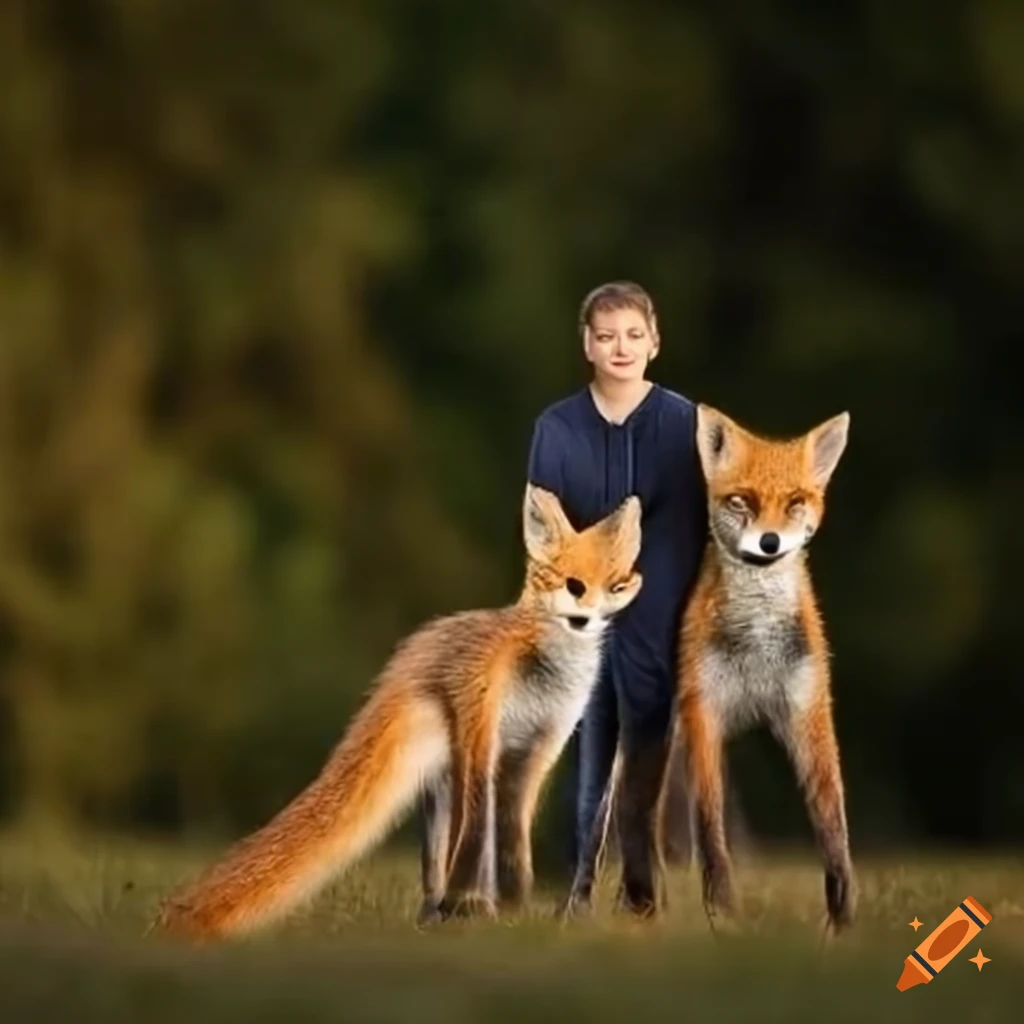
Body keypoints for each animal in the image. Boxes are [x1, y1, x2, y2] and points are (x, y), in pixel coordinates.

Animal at [153, 484, 643, 940]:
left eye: (617, 586)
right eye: (573, 584)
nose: (584, 620)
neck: (546, 674)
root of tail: (402, 665)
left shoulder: (538, 749)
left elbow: (515, 837)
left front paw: (518, 907)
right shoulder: (482, 723)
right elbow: (480, 831)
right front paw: (484, 910)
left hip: (443, 778)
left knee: (437, 866)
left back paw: (442, 915)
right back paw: (455, 911)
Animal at [674, 403, 856, 932]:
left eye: (795, 502)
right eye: (741, 502)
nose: (769, 543)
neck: (757, 644)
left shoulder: (807, 708)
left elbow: (831, 818)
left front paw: (841, 914)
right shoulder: (704, 712)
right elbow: (711, 830)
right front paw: (724, 915)